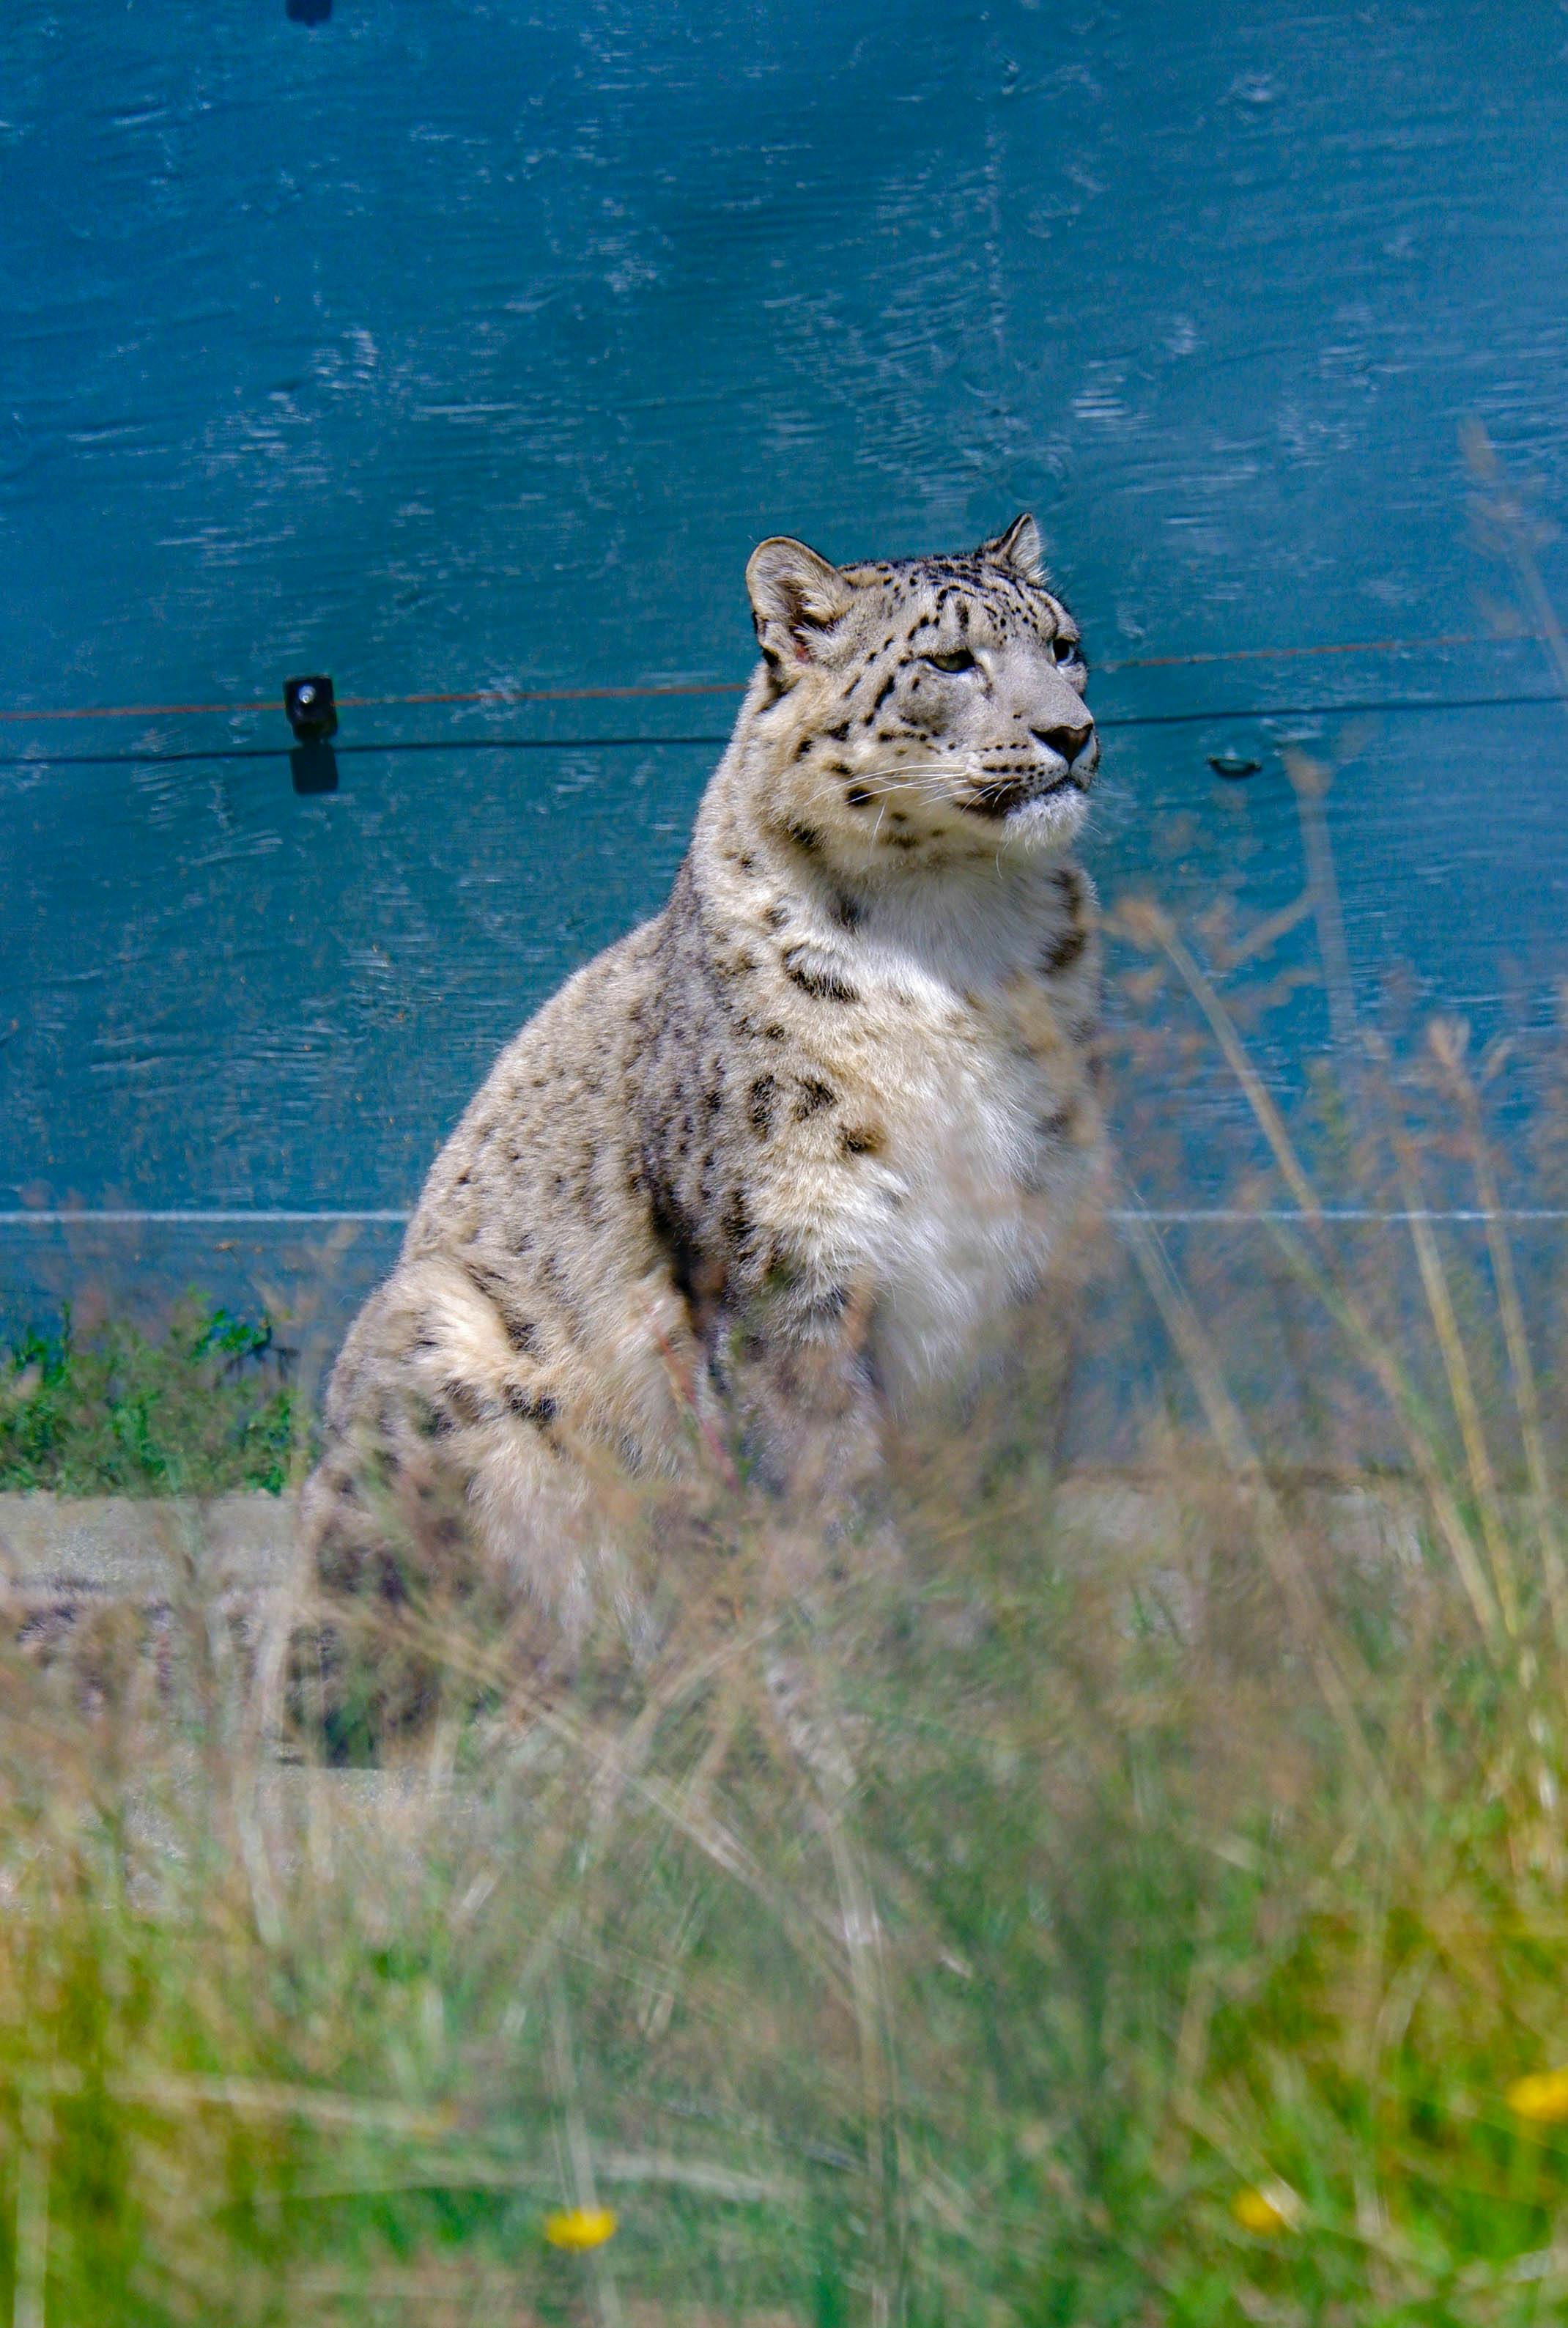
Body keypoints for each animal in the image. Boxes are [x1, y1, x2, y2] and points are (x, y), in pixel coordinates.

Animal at [300, 514, 1107, 1680]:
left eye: (1065, 646)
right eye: (953, 662)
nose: (1073, 733)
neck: (957, 938)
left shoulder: (1038, 1243)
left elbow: (1002, 1465)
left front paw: (1017, 1636)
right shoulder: (783, 1261)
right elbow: (823, 1477)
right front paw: (872, 1660)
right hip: (433, 1347)